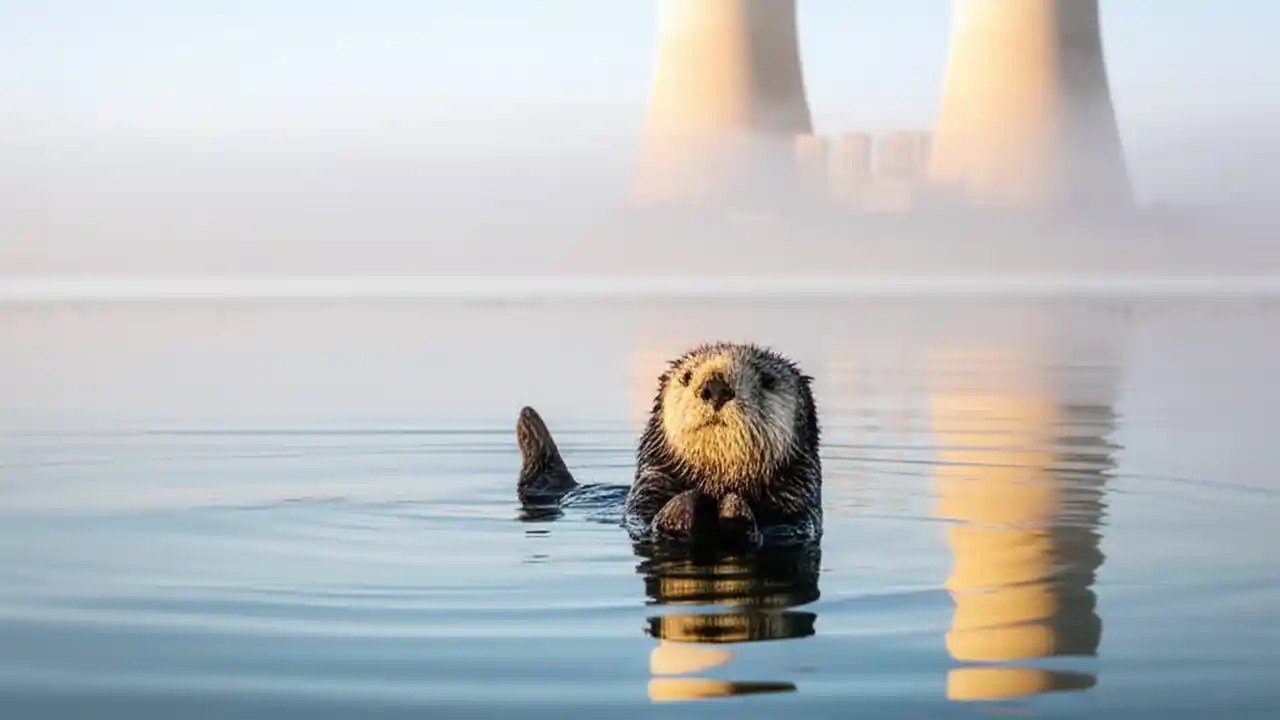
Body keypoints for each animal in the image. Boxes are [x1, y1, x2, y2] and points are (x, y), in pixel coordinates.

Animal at [517, 342, 822, 548]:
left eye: (768, 379)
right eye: (686, 376)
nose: (716, 386)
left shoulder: (796, 511)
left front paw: (733, 504)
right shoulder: (649, 489)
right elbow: (650, 519)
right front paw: (686, 501)